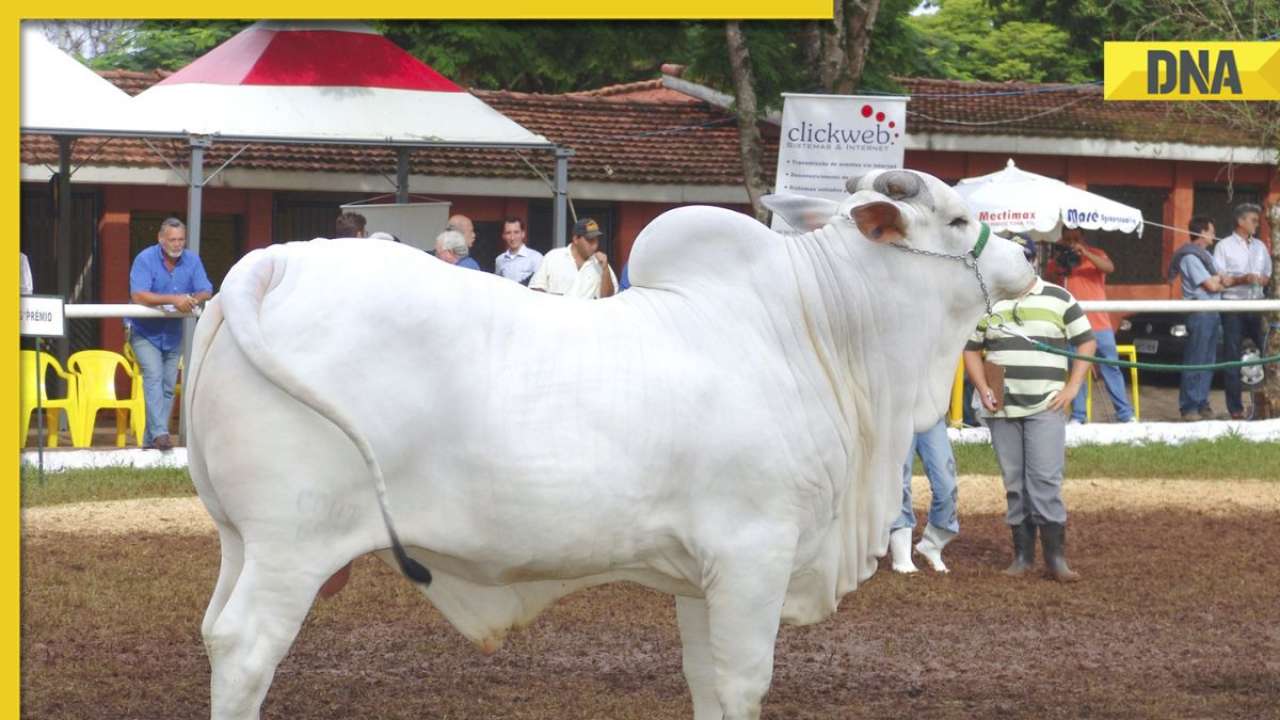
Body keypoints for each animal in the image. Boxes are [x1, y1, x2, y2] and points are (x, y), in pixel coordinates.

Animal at [186, 169, 1034, 720]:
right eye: (957, 221)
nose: (1030, 255)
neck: (813, 328)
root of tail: (276, 260)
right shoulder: (754, 553)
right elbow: (743, 683)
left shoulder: (704, 577)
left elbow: (706, 683)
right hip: (295, 543)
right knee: (247, 648)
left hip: (239, 538)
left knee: (215, 633)